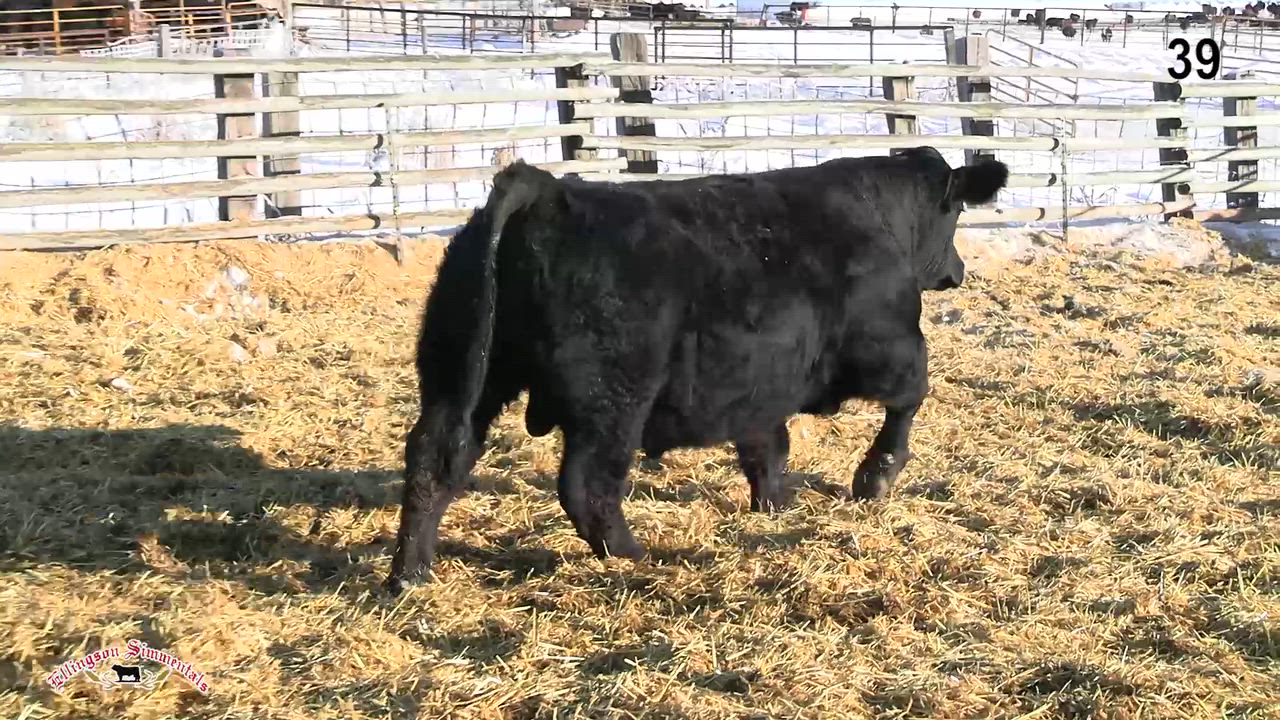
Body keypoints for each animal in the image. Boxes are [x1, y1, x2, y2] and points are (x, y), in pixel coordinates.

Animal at [383, 149, 1009, 592]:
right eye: (954, 212)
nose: (957, 270)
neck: (881, 216)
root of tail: (548, 191)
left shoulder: (761, 384)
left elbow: (768, 449)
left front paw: (774, 506)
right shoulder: (889, 345)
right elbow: (912, 397)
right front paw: (875, 476)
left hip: (458, 377)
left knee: (435, 461)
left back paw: (411, 574)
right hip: (612, 401)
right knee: (588, 485)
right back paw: (633, 556)